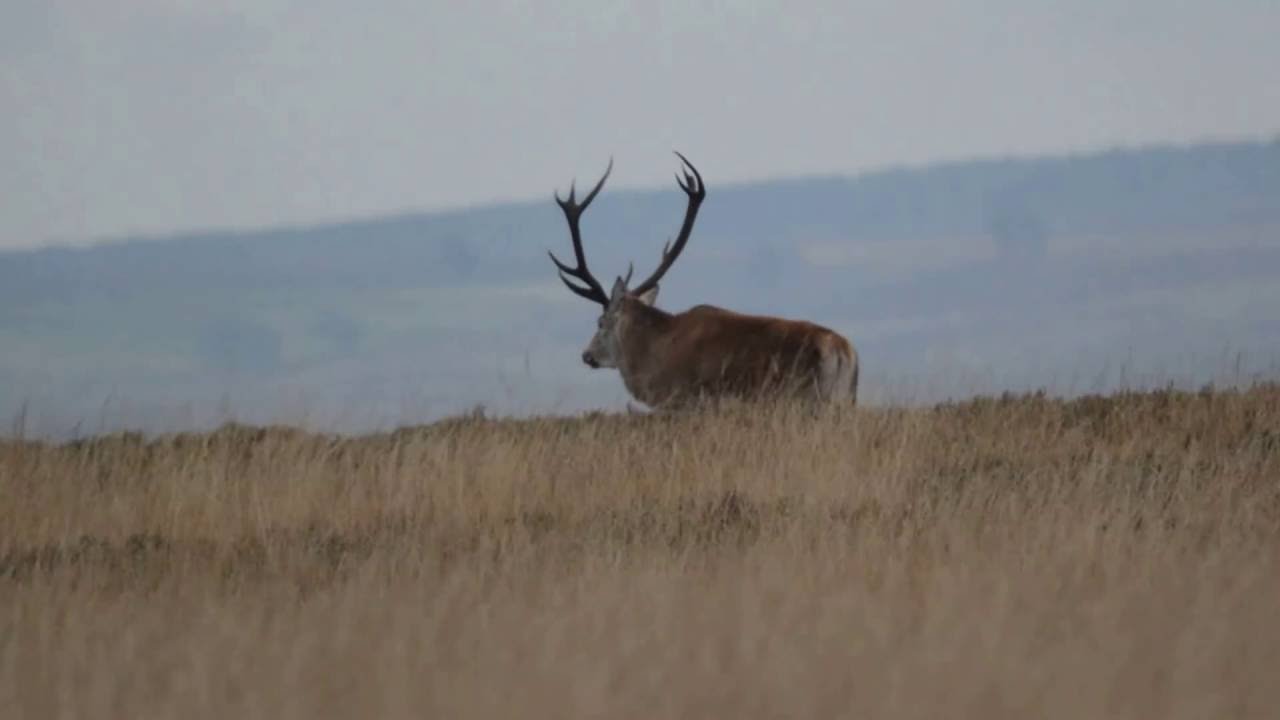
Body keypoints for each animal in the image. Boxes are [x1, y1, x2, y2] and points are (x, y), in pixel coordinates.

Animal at [548, 152, 859, 411]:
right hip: (844, 403)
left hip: (807, 400)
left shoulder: (689, 402)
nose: (587, 354)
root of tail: (843, 352)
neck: (654, 354)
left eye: (600, 322)